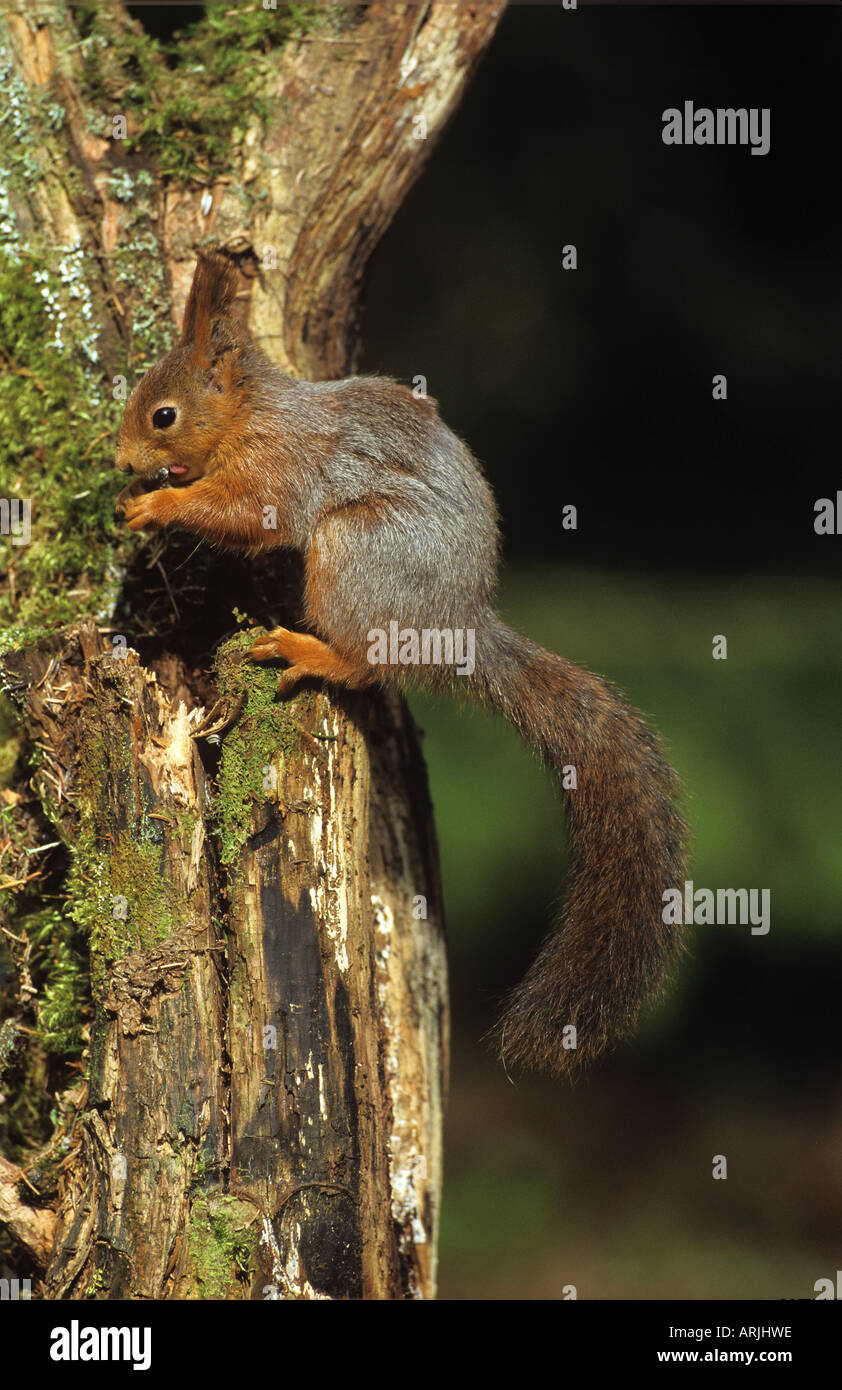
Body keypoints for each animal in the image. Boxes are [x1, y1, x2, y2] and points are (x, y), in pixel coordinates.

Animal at [115, 247, 688, 1077]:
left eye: (164, 416)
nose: (121, 458)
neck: (255, 414)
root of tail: (455, 626)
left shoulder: (279, 468)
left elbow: (247, 514)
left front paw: (156, 506)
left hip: (354, 554)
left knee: (366, 663)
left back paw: (307, 648)